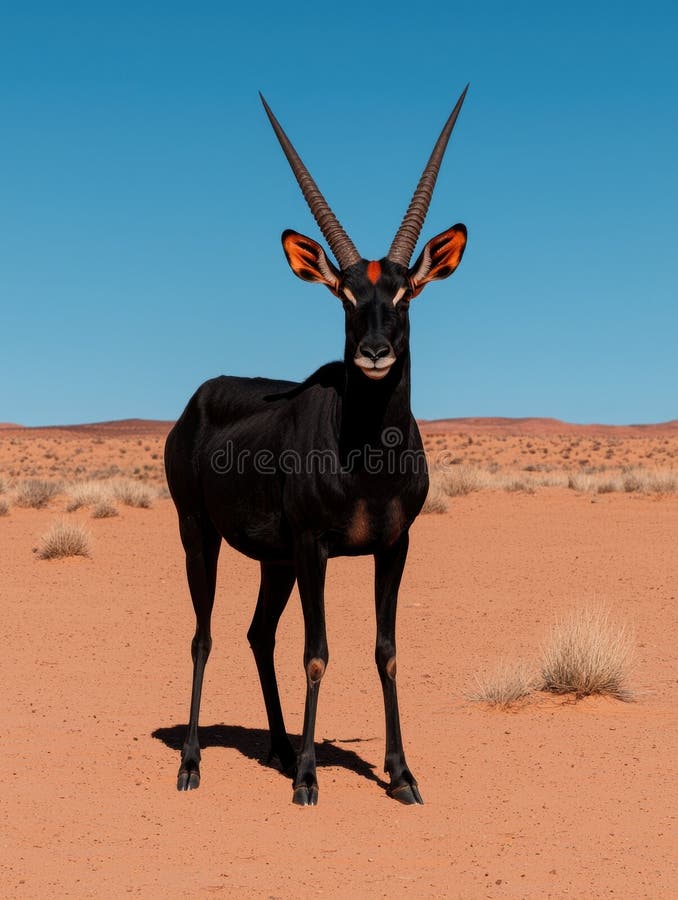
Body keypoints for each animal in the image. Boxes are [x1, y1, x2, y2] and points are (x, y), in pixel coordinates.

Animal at [165, 86, 469, 805]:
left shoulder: (393, 546)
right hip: (201, 535)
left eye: (405, 294)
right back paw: (192, 762)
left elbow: (386, 651)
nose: (375, 352)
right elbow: (318, 651)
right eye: (346, 297)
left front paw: (402, 775)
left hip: (273, 562)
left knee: (257, 634)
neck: (369, 459)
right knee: (203, 636)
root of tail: (196, 403)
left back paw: (276, 746)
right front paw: (308, 778)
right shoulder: (315, 548)